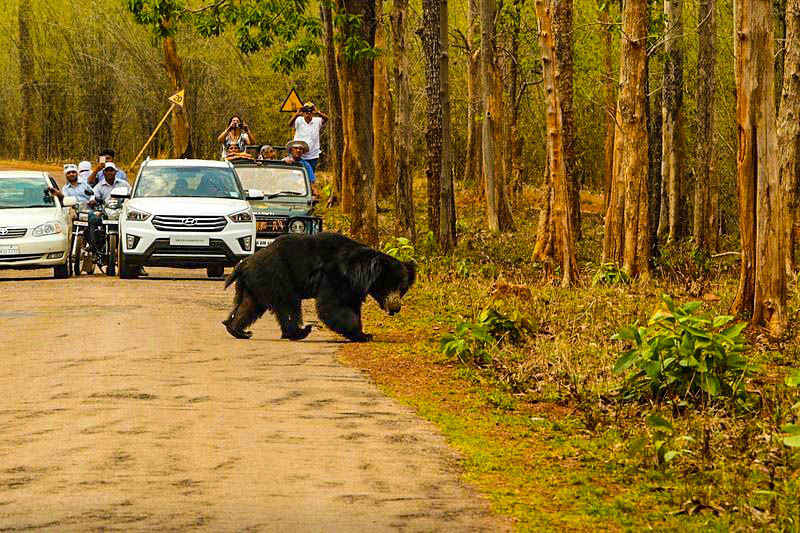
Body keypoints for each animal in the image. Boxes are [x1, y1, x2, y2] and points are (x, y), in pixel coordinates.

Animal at [222, 232, 416, 342]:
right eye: (390, 286)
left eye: (402, 288)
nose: (396, 307)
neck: (359, 273)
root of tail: (243, 264)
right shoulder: (335, 276)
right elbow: (332, 306)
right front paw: (363, 335)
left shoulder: (353, 288)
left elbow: (351, 306)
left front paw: (363, 333)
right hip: (277, 277)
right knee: (289, 305)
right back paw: (300, 331)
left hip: (256, 284)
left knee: (248, 306)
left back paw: (238, 330)